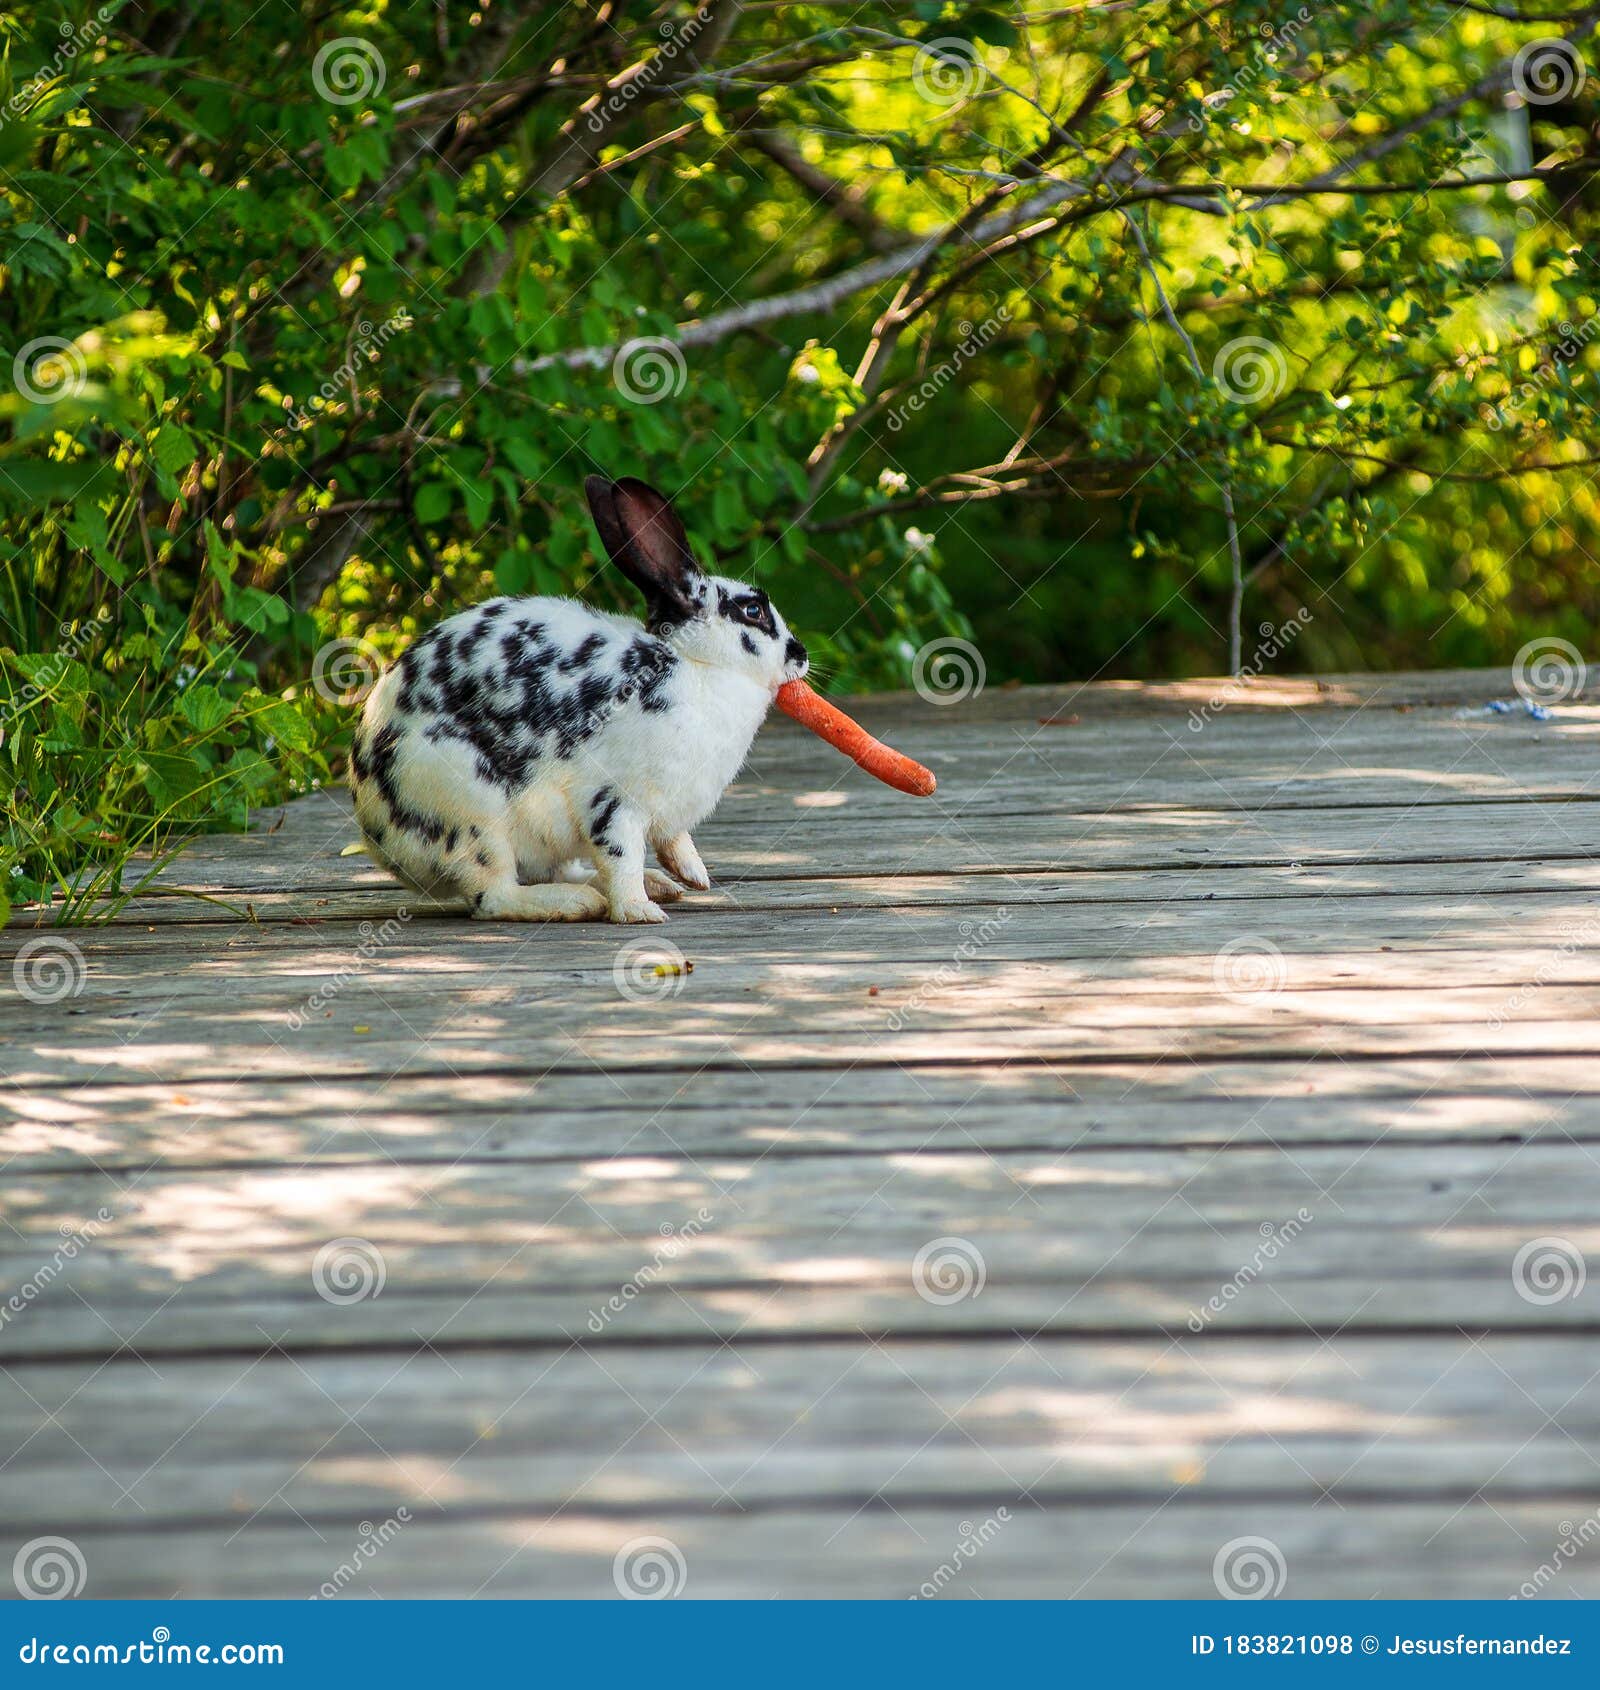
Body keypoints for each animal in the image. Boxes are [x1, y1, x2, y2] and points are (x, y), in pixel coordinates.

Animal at [348, 475, 810, 923]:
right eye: (753, 611)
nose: (801, 656)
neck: (696, 664)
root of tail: (377, 835)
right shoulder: (616, 804)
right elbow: (621, 859)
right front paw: (639, 912)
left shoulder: (667, 813)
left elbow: (675, 840)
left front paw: (694, 875)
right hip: (469, 812)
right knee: (493, 896)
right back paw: (579, 903)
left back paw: (652, 883)